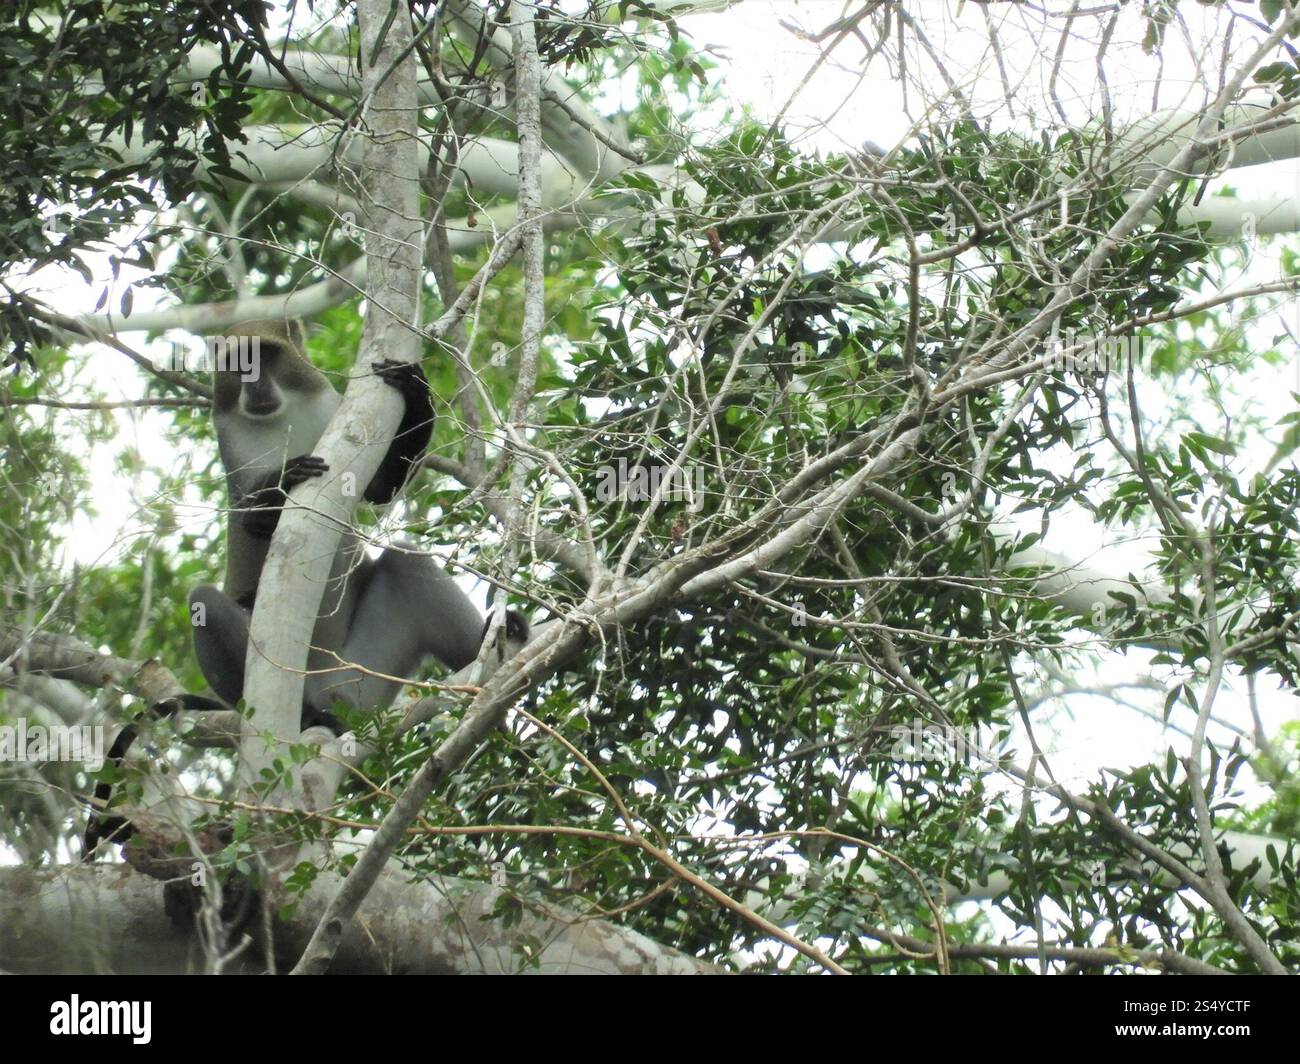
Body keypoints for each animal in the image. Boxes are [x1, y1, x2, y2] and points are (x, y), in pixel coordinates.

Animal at [83, 319, 527, 858]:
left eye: (267, 356)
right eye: (237, 364)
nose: (254, 386)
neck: (280, 417)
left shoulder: (340, 415)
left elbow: (378, 490)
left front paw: (415, 388)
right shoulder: (231, 447)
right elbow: (248, 525)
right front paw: (282, 480)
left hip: (362, 681)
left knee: (404, 561)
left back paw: (494, 656)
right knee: (205, 600)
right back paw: (305, 715)